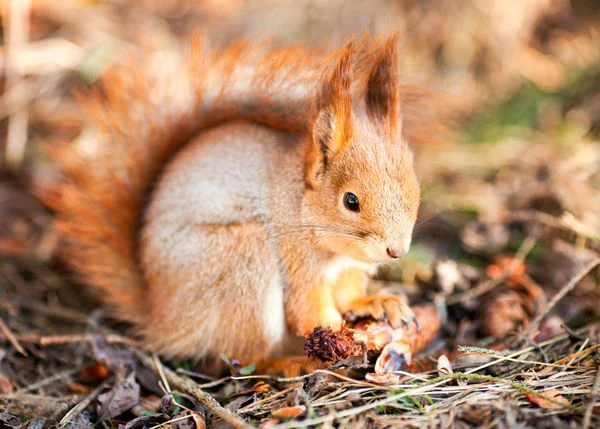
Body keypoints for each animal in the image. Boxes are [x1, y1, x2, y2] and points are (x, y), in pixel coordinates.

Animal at [43, 34, 440, 372]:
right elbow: (307, 309)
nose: (396, 251)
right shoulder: (295, 256)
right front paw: (341, 334)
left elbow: (348, 294)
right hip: (243, 263)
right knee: (242, 355)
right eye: (351, 200)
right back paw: (287, 363)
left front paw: (376, 303)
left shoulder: (348, 268)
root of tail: (162, 318)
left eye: (415, 186)